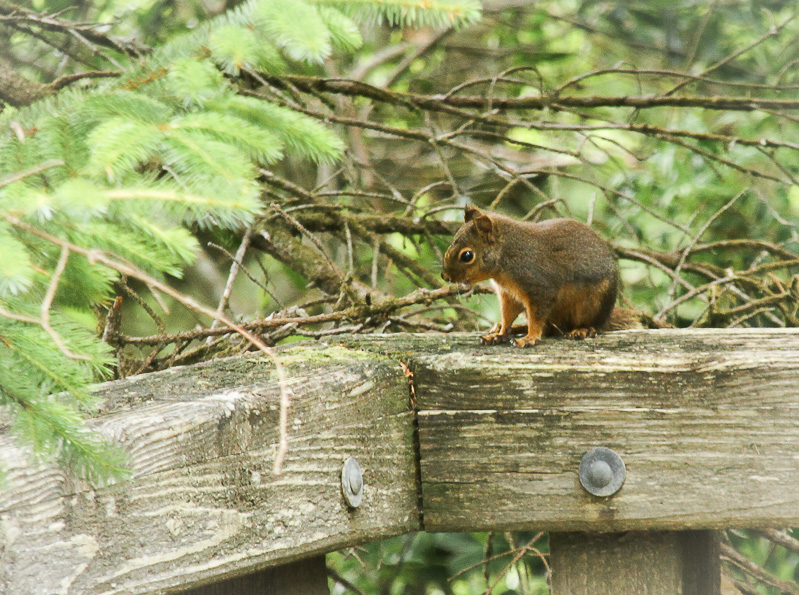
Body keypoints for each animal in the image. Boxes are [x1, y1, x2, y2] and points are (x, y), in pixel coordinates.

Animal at [442, 205, 637, 347]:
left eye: (467, 256)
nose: (444, 276)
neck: (508, 255)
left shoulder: (539, 288)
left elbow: (536, 319)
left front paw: (529, 339)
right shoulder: (508, 295)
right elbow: (508, 316)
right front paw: (501, 333)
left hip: (593, 304)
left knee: (584, 325)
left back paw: (583, 330)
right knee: (549, 328)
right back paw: (512, 329)